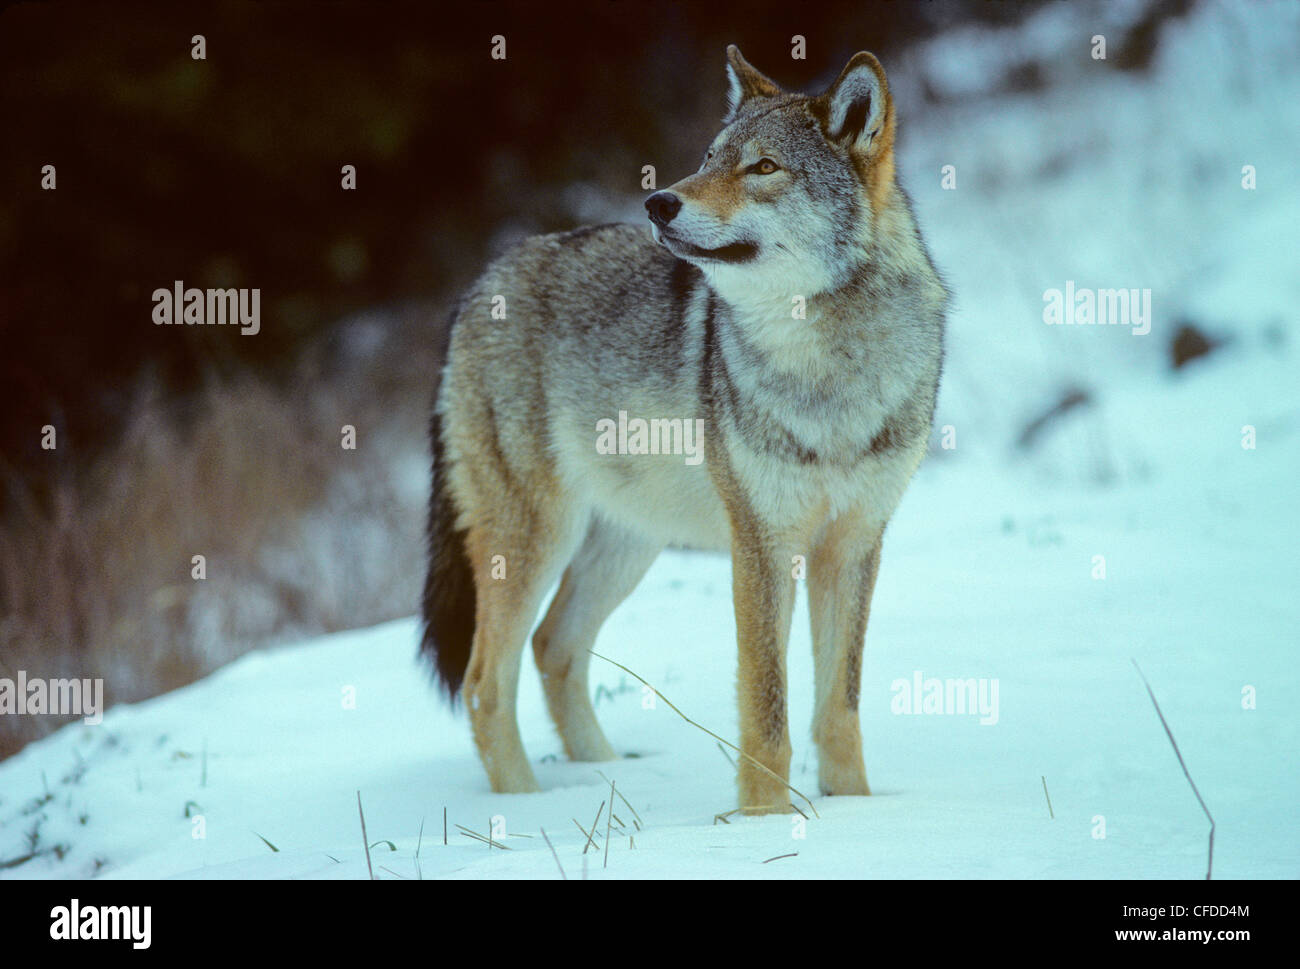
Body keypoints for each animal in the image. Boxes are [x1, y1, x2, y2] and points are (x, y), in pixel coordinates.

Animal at [421, 45, 947, 814]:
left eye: (763, 167)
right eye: (708, 158)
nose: (658, 202)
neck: (829, 371)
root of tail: (479, 282)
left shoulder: (853, 544)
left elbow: (837, 710)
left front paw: (854, 810)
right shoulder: (762, 544)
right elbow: (767, 709)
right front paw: (764, 820)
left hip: (626, 545)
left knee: (554, 647)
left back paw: (606, 778)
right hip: (537, 541)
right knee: (485, 685)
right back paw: (528, 809)